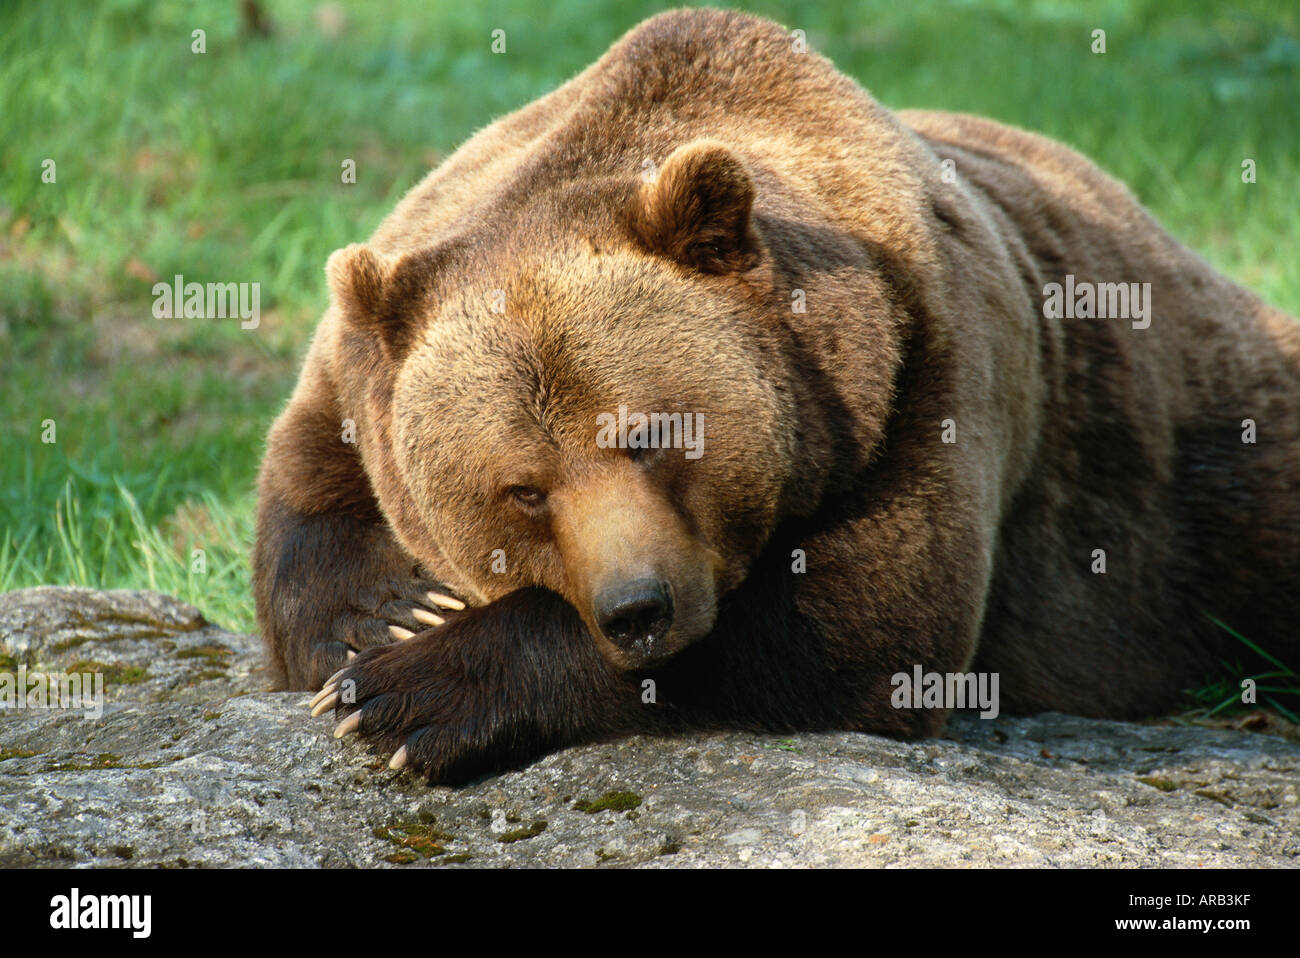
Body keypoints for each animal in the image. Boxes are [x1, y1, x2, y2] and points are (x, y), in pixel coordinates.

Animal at [254, 9, 1300, 783]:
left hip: (1208, 458)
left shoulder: (918, 372)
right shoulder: (366, 346)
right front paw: (390, 615)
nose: (638, 608)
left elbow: (864, 617)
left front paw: (410, 691)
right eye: (523, 489)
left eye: (655, 435)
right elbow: (308, 483)